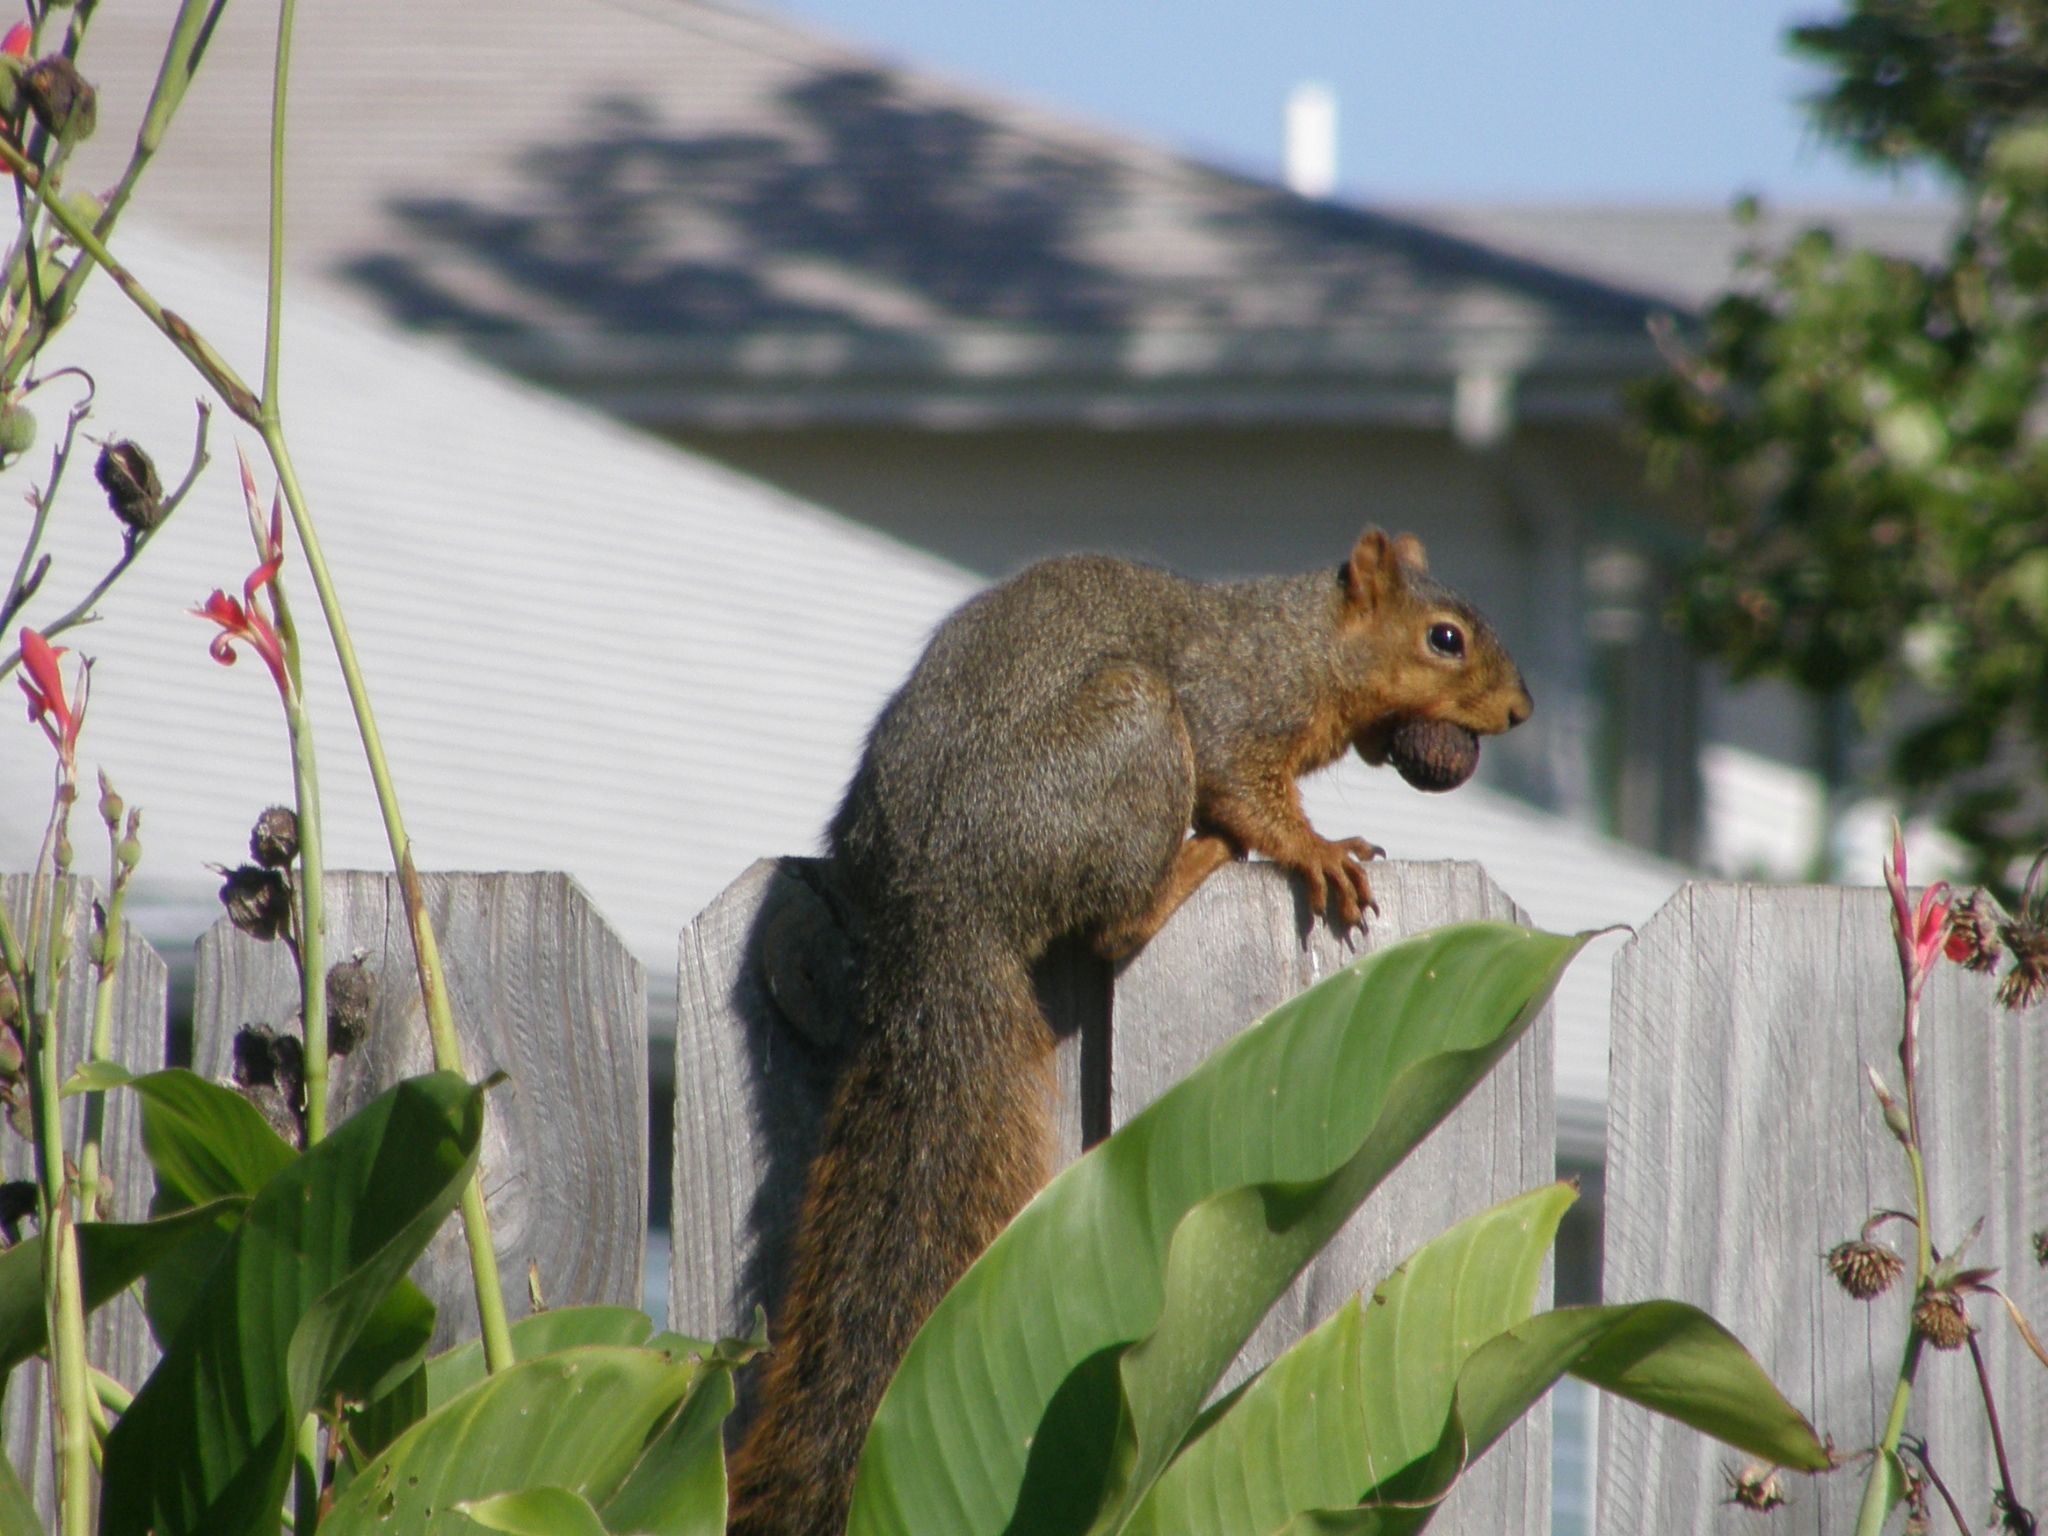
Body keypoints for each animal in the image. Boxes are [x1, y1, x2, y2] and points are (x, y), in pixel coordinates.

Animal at [726, 528, 1532, 1536]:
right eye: (1445, 639)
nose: (1520, 709)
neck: (1302, 643)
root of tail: (943, 889)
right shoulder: (1231, 712)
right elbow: (1250, 791)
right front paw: (1317, 849)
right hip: (1135, 737)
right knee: (1117, 925)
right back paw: (1200, 857)